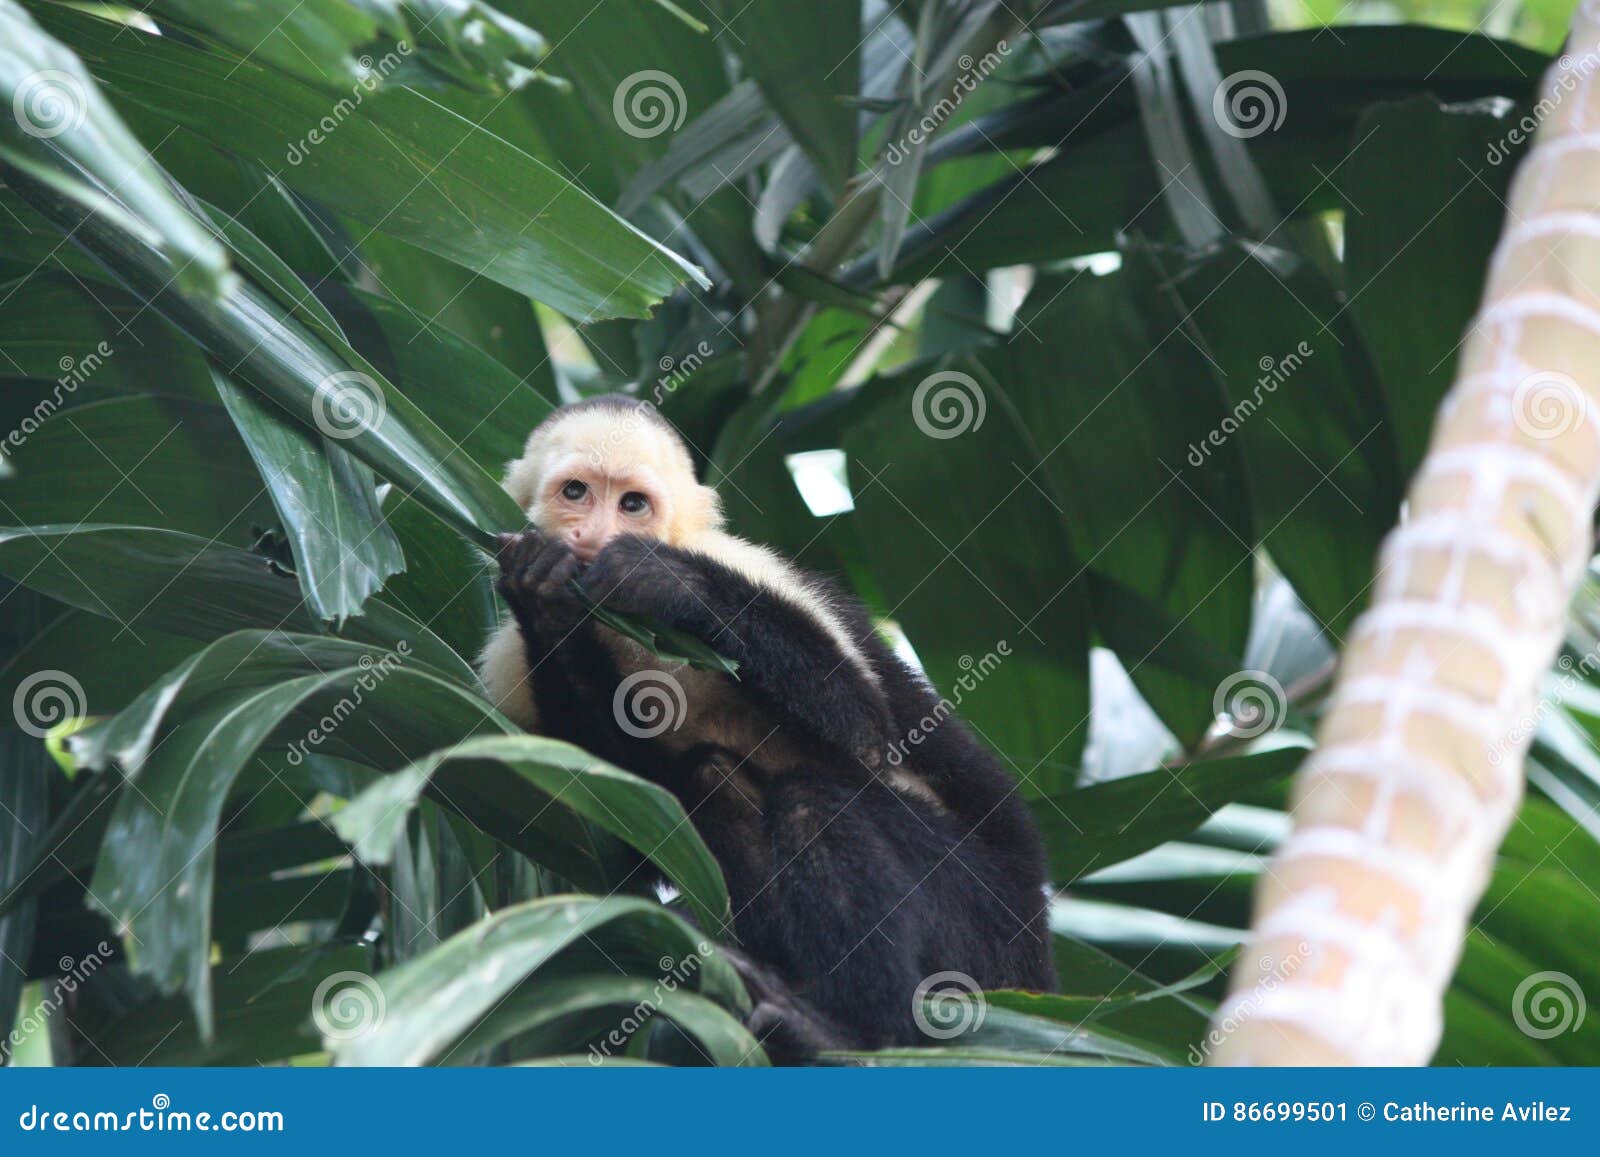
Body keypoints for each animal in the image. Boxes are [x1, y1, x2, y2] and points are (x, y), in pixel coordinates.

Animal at [477, 395, 1054, 1059]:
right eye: (576, 492)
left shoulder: (744, 564)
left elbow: (864, 732)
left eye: (632, 505)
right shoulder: (510, 672)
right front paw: (544, 596)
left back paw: (863, 1031)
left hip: (985, 928)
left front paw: (668, 582)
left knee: (815, 798)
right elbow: (622, 835)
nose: (593, 537)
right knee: (711, 778)